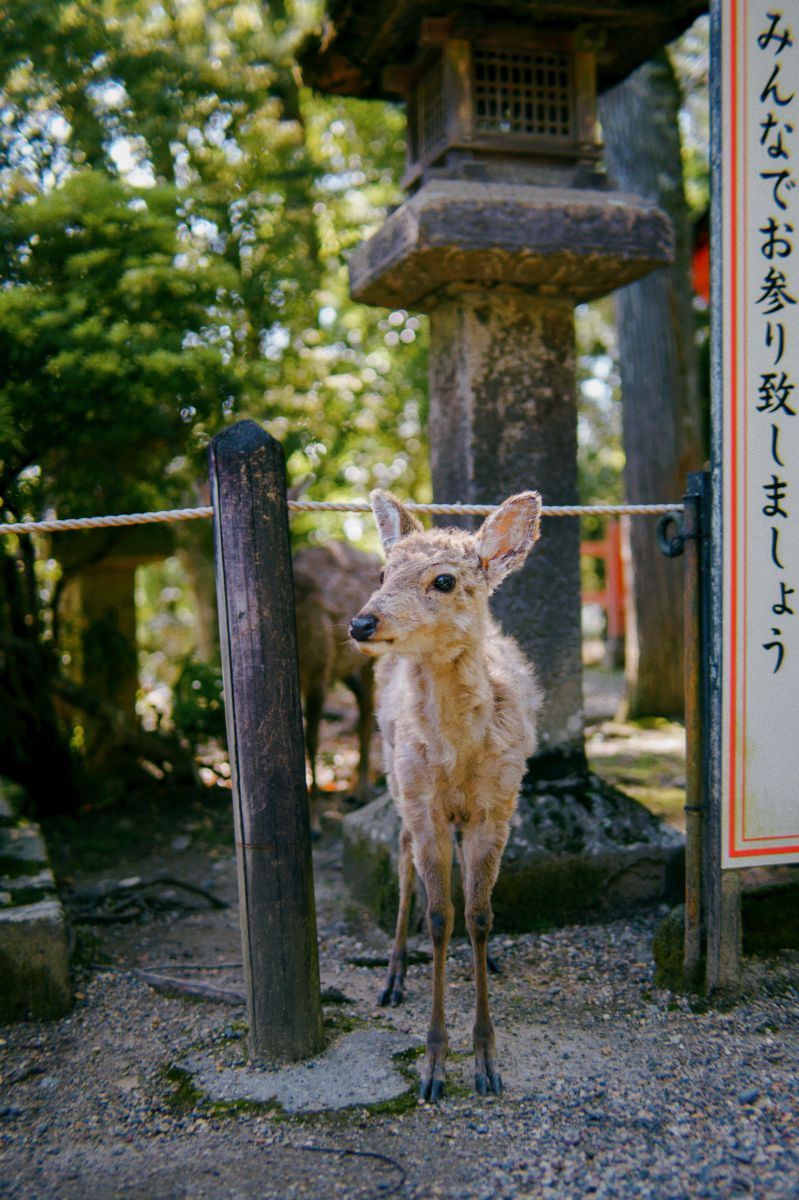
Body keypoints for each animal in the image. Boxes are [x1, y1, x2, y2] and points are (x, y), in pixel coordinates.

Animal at [349, 489, 542, 1102]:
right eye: (382, 572)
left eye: (444, 580)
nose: (362, 621)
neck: (459, 756)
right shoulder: (422, 803)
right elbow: (438, 915)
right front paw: (434, 1065)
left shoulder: (497, 804)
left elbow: (478, 914)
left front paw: (487, 1061)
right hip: (398, 785)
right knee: (404, 866)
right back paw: (392, 977)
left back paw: (491, 959)